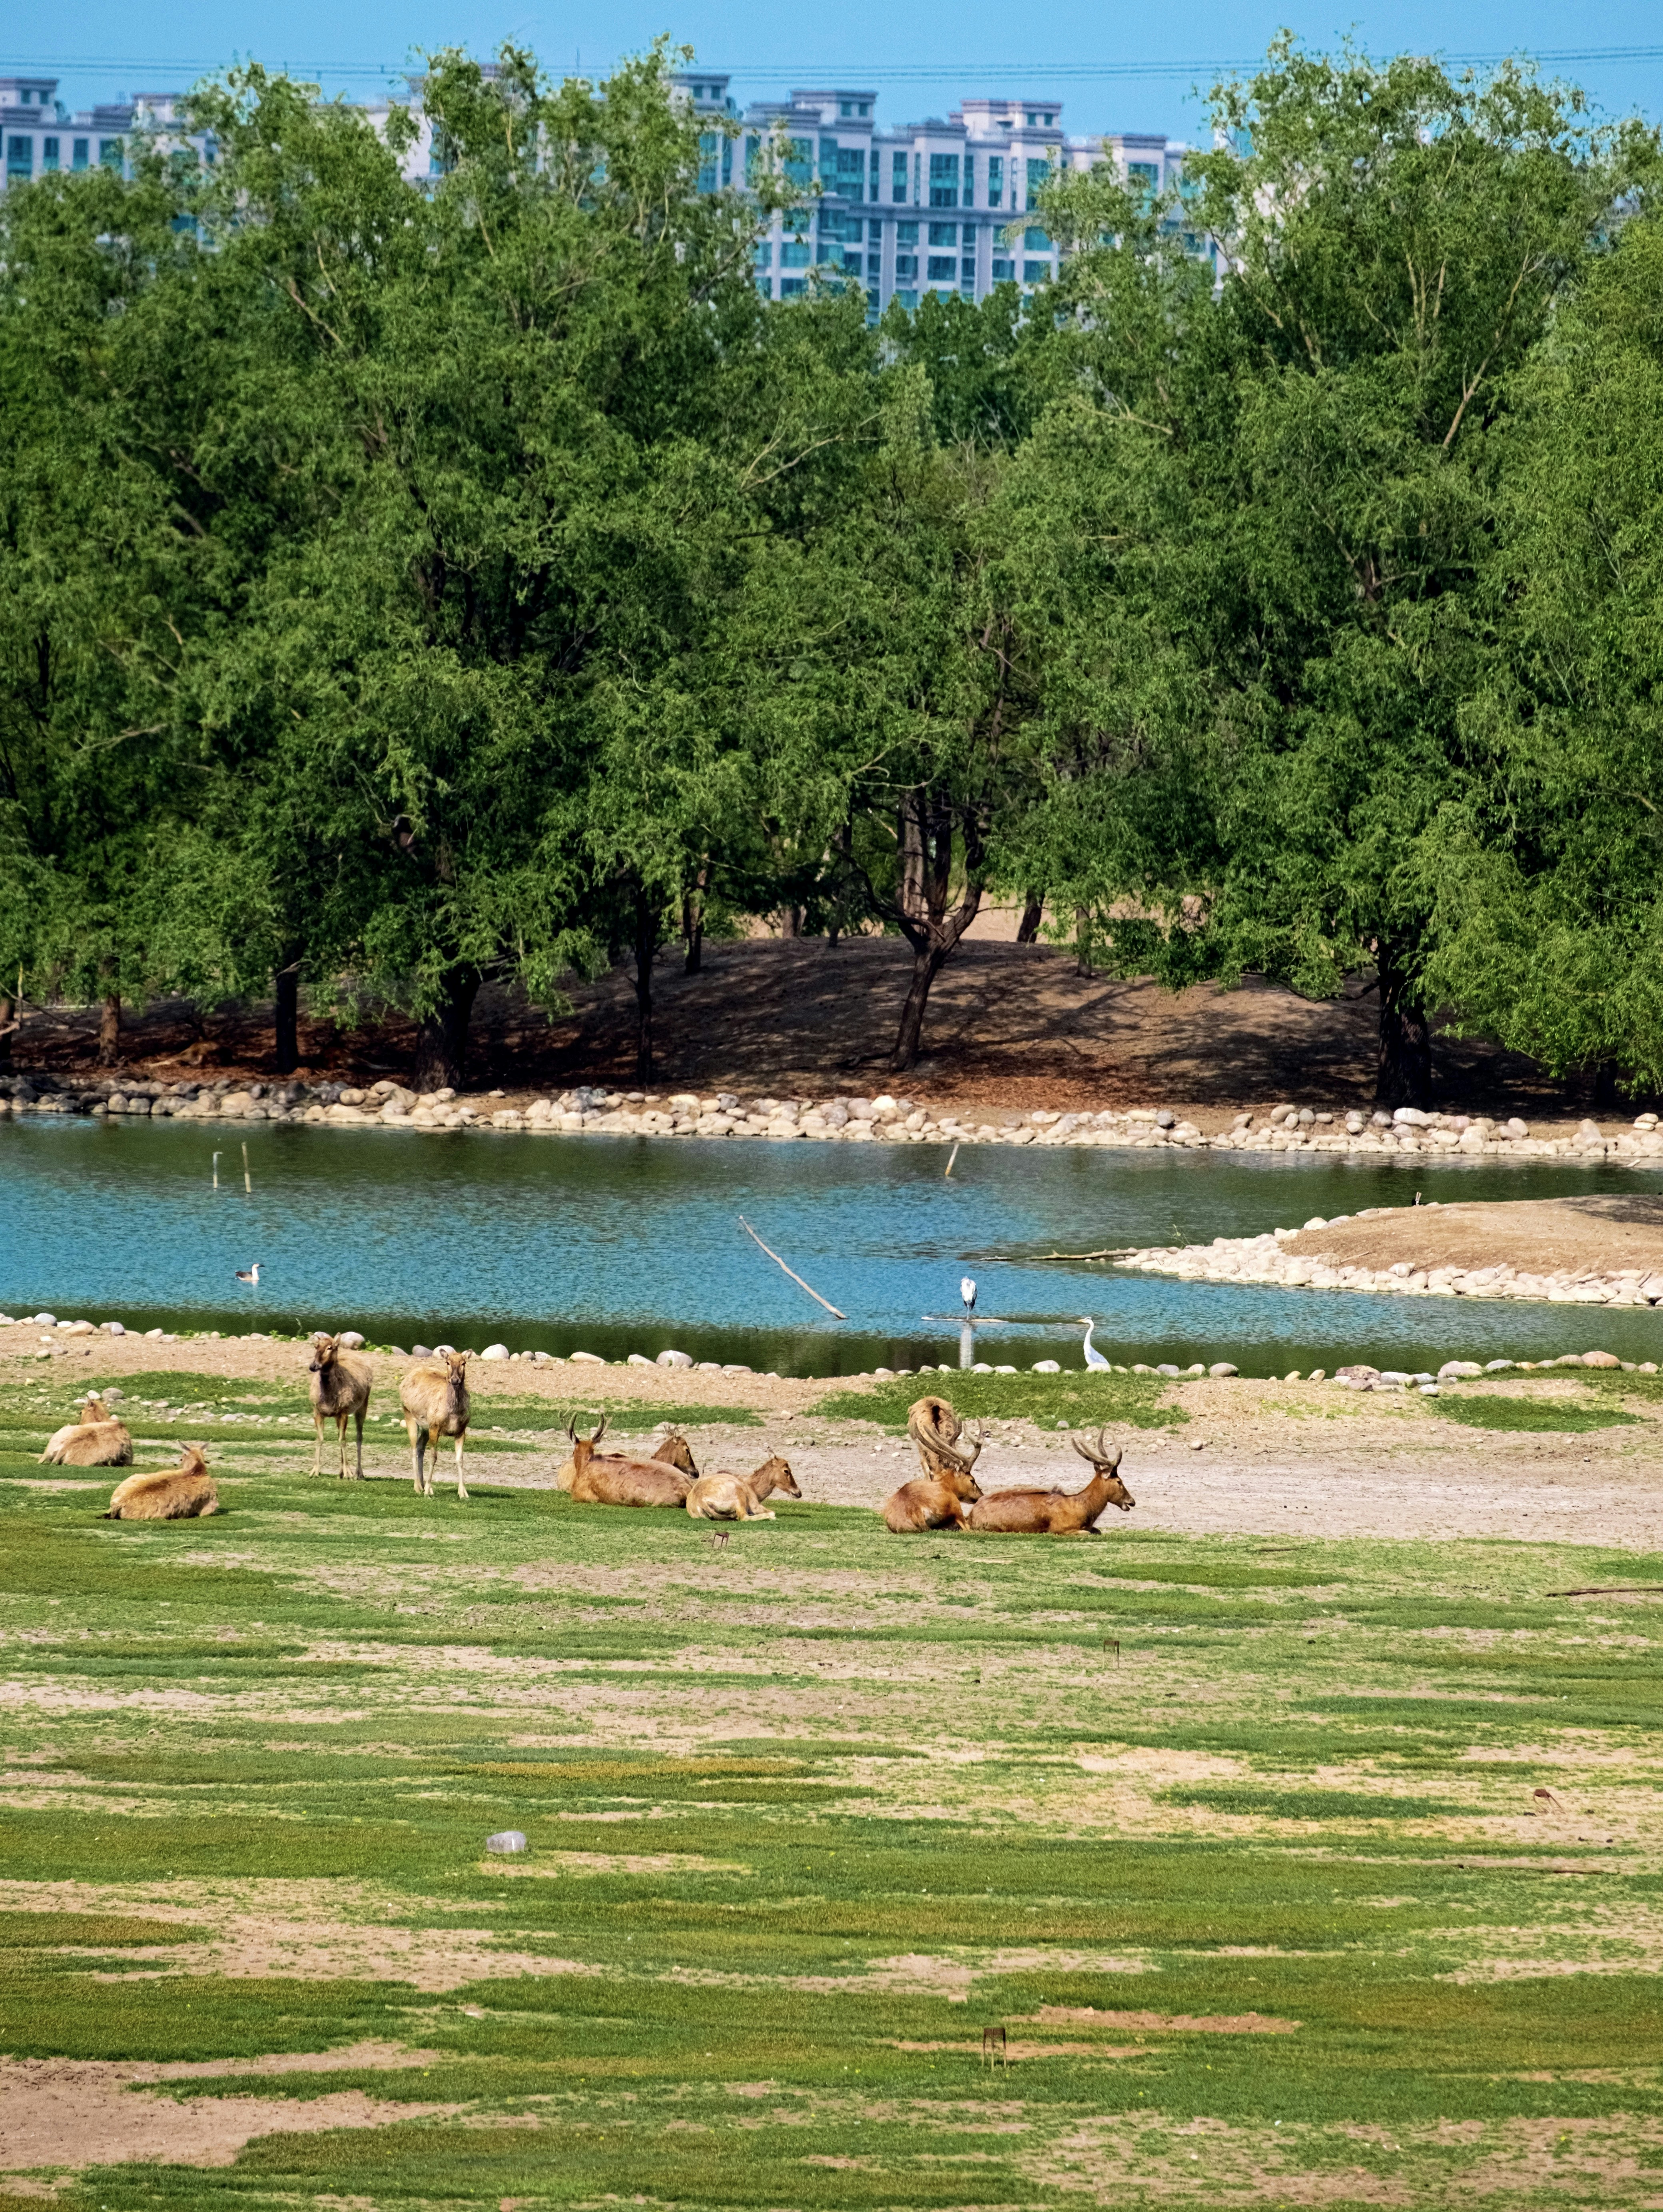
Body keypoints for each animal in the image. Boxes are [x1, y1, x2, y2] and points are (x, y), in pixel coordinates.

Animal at [308, 1333, 373, 1479]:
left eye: (330, 1348)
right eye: (316, 1346)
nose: (313, 1366)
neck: (328, 1398)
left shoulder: (344, 1411)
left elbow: (343, 1440)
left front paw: (349, 1473)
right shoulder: (317, 1411)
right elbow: (319, 1439)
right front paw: (314, 1471)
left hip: (363, 1405)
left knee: (359, 1437)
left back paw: (358, 1474)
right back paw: (341, 1472)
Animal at [399, 1350, 472, 1500]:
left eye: (464, 1363)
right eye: (448, 1362)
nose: (455, 1380)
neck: (453, 1413)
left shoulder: (462, 1430)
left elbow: (460, 1459)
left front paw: (463, 1493)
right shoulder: (435, 1426)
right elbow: (433, 1457)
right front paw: (429, 1490)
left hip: (425, 1427)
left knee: (420, 1447)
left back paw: (422, 1484)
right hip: (409, 1414)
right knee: (413, 1448)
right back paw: (418, 1487)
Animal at [565, 1416, 694, 1508]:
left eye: (573, 1452)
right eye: (687, 1450)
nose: (696, 1473)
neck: (584, 1466)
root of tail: (688, 1489)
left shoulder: (582, 1494)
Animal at [685, 1455, 803, 1522]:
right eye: (786, 1471)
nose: (799, 1493)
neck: (750, 1485)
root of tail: (701, 1501)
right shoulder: (755, 1506)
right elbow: (772, 1512)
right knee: (744, 1517)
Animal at [882, 1396, 986, 1533]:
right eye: (972, 1480)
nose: (981, 1496)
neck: (945, 1484)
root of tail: (916, 1511)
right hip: (954, 1505)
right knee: (967, 1527)